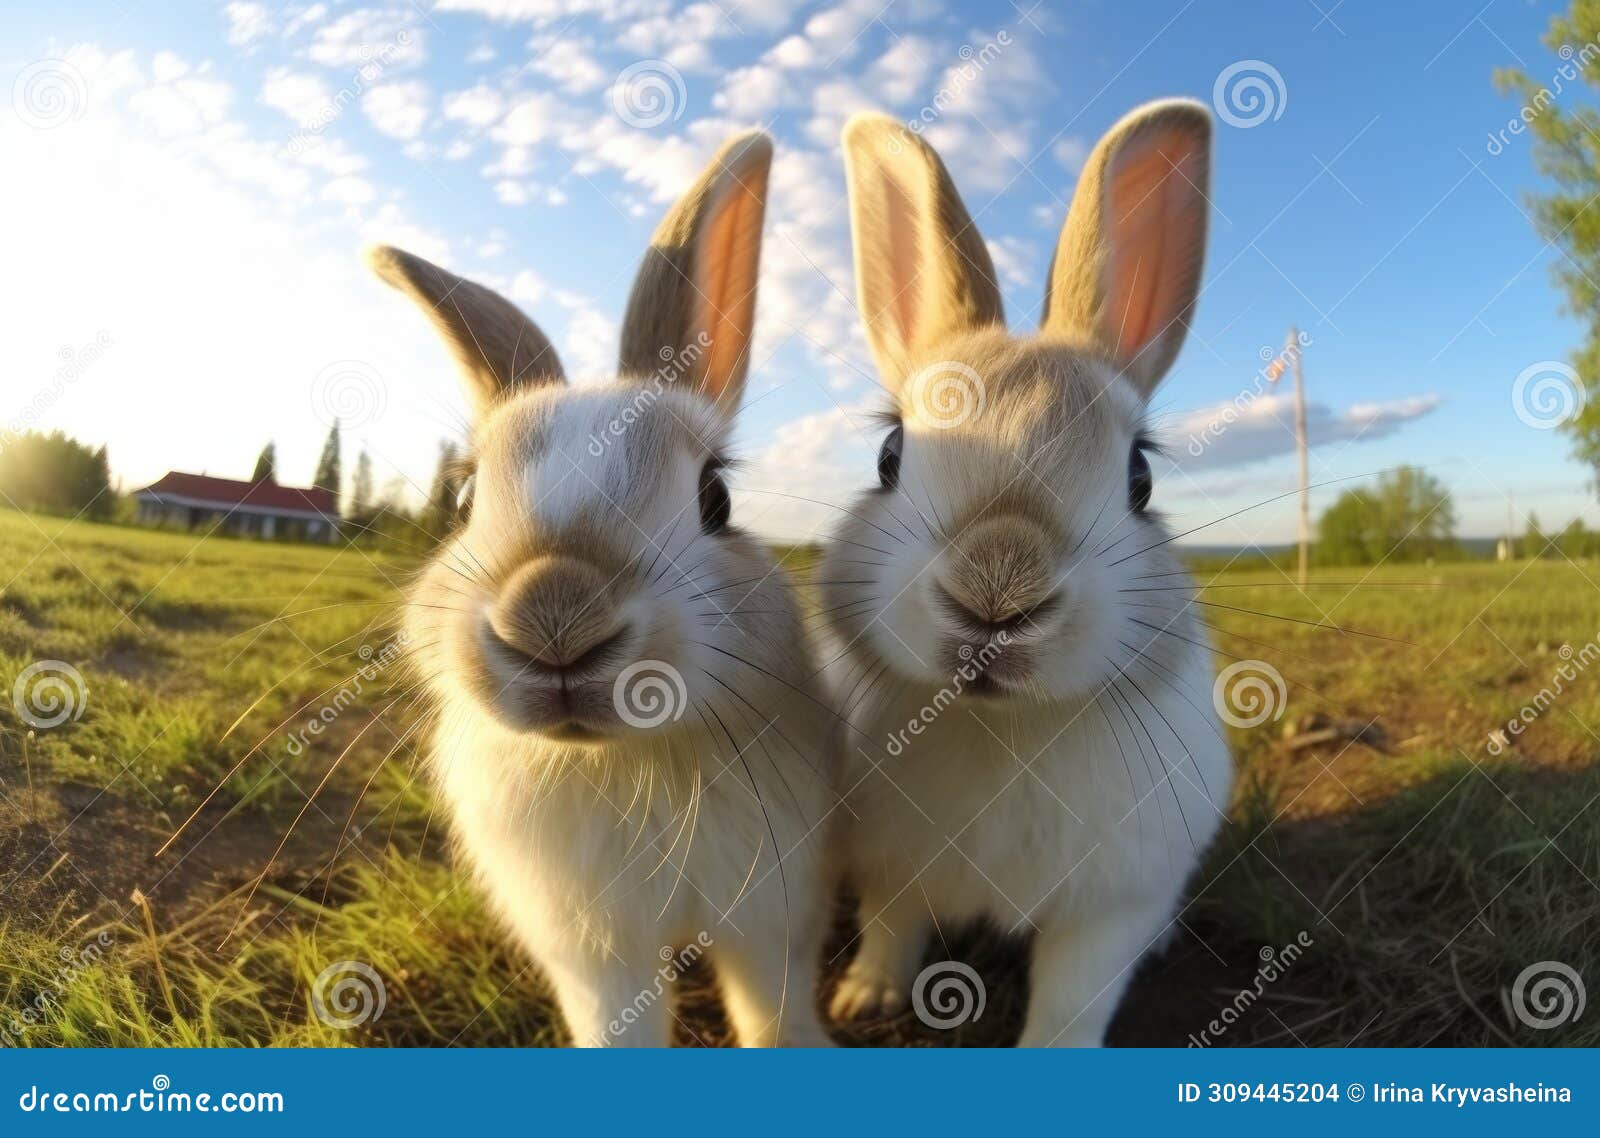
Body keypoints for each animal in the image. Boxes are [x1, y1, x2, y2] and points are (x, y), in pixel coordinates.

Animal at [369, 131, 837, 1048]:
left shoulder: (771, 920)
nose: (554, 618)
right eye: (465, 499)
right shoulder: (594, 954)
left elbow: (774, 1014)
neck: (625, 762)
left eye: (716, 498)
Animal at [817, 100, 1235, 1047]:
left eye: (1140, 477)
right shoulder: (889, 872)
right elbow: (891, 930)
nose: (997, 595)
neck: (1000, 725)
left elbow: (1074, 997)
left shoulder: (1110, 908)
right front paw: (864, 1001)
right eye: (889, 455)